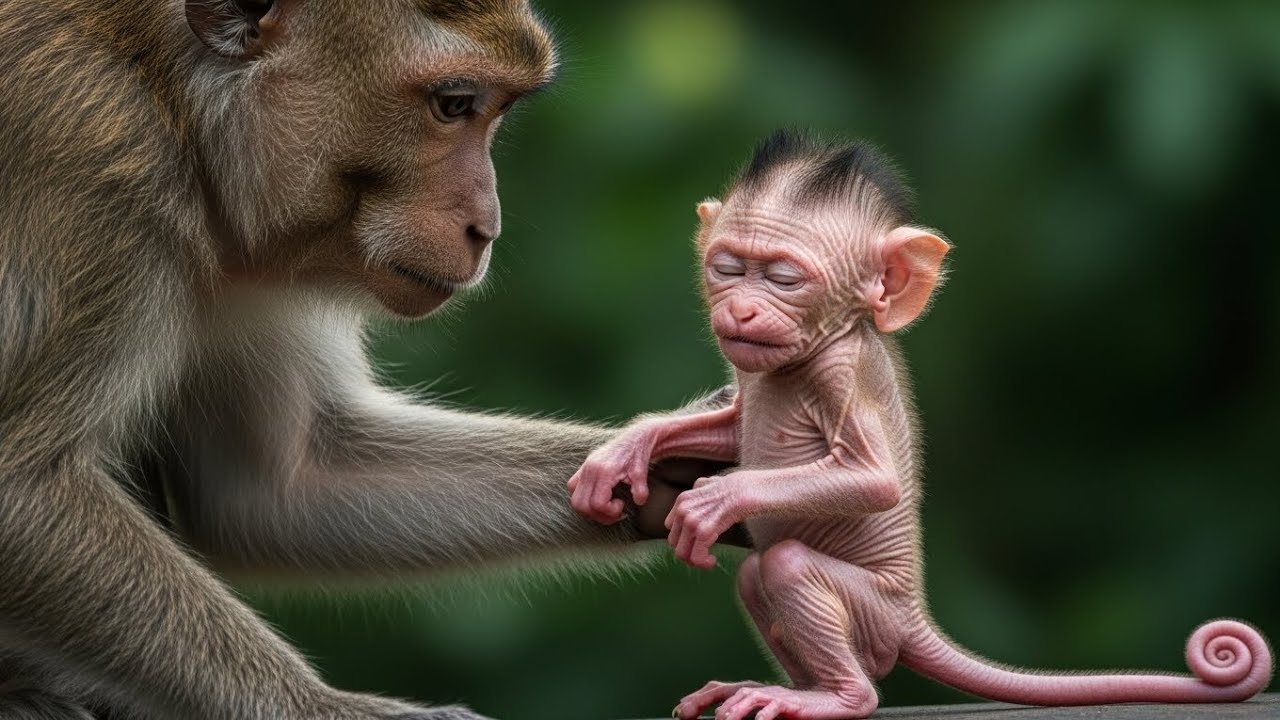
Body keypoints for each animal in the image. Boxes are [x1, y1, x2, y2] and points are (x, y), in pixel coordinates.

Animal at [0, 1, 735, 718]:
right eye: (454, 104)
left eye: (490, 109)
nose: (486, 229)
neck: (174, 103)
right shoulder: (92, 167)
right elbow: (23, 491)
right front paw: (331, 709)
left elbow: (277, 489)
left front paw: (684, 458)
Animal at [569, 129, 1274, 720]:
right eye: (727, 268)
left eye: (785, 279)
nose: (740, 310)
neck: (825, 340)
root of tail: (912, 616)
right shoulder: (751, 372)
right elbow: (733, 425)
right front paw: (628, 449)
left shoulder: (840, 374)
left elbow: (874, 480)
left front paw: (715, 499)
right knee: (755, 575)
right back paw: (791, 687)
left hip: (873, 611)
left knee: (789, 568)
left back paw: (837, 698)